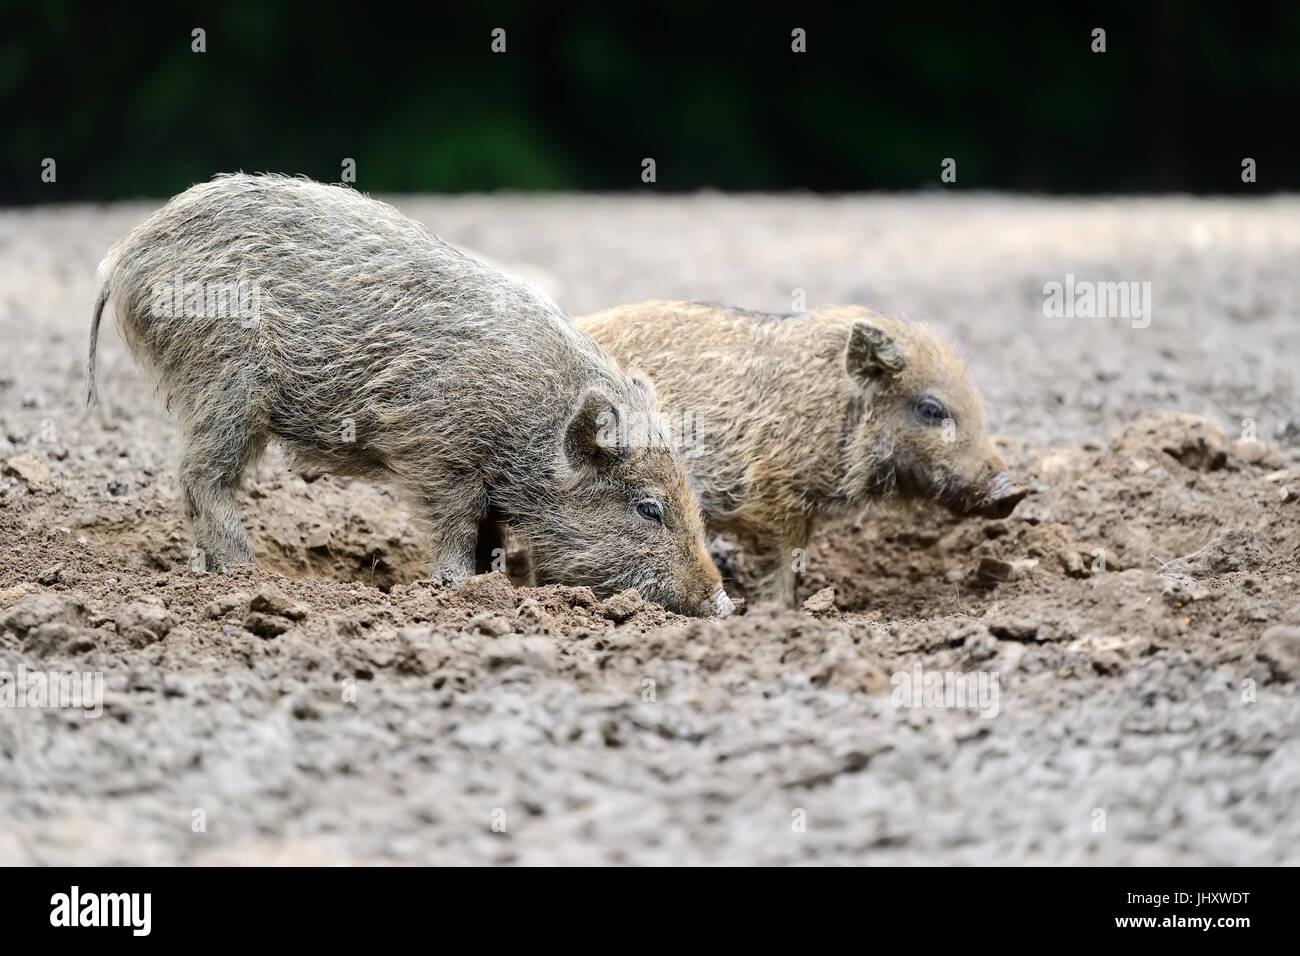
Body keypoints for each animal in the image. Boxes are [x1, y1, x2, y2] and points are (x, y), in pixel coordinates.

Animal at [86, 174, 731, 617]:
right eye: (648, 509)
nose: (723, 604)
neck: (527, 422)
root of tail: (122, 256)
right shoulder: (437, 453)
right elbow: (458, 526)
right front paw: (457, 588)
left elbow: (491, 536)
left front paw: (498, 588)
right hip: (224, 381)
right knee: (200, 477)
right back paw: (250, 575)